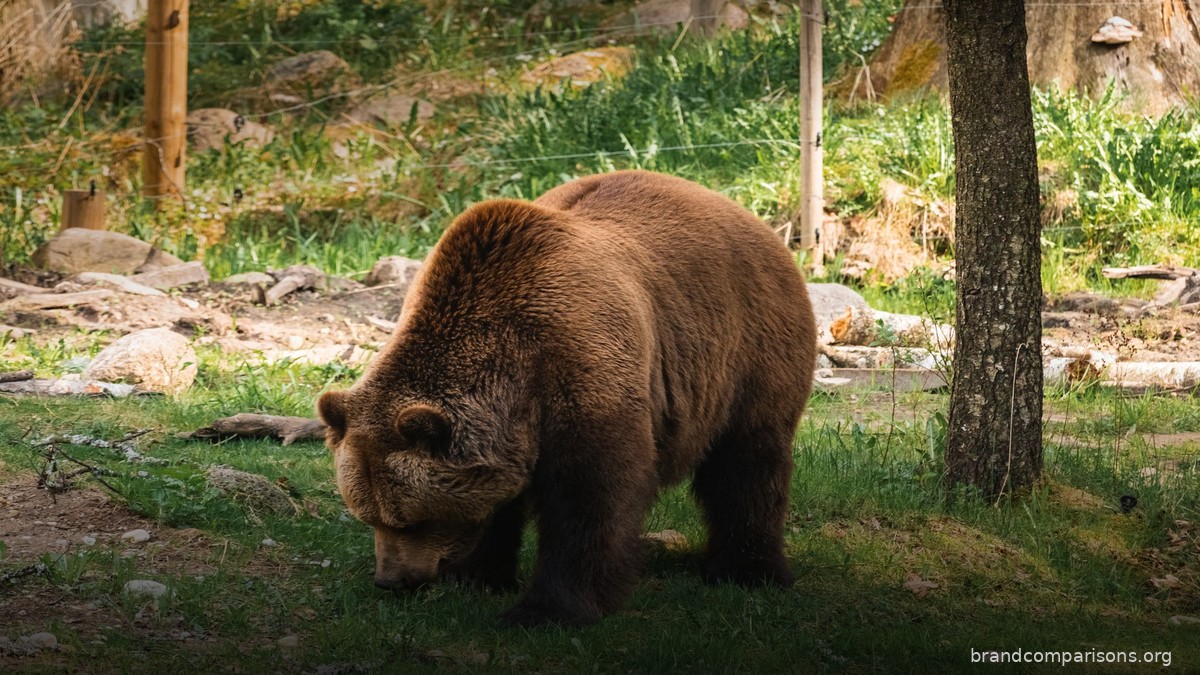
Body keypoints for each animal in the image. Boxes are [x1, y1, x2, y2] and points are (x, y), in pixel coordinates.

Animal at [317, 170, 817, 627]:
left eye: (409, 520)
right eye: (368, 516)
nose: (391, 579)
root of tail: (748, 216)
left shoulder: (582, 368)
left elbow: (591, 499)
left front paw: (546, 609)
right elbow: (497, 502)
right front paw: (475, 575)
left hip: (746, 347)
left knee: (747, 462)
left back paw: (747, 569)